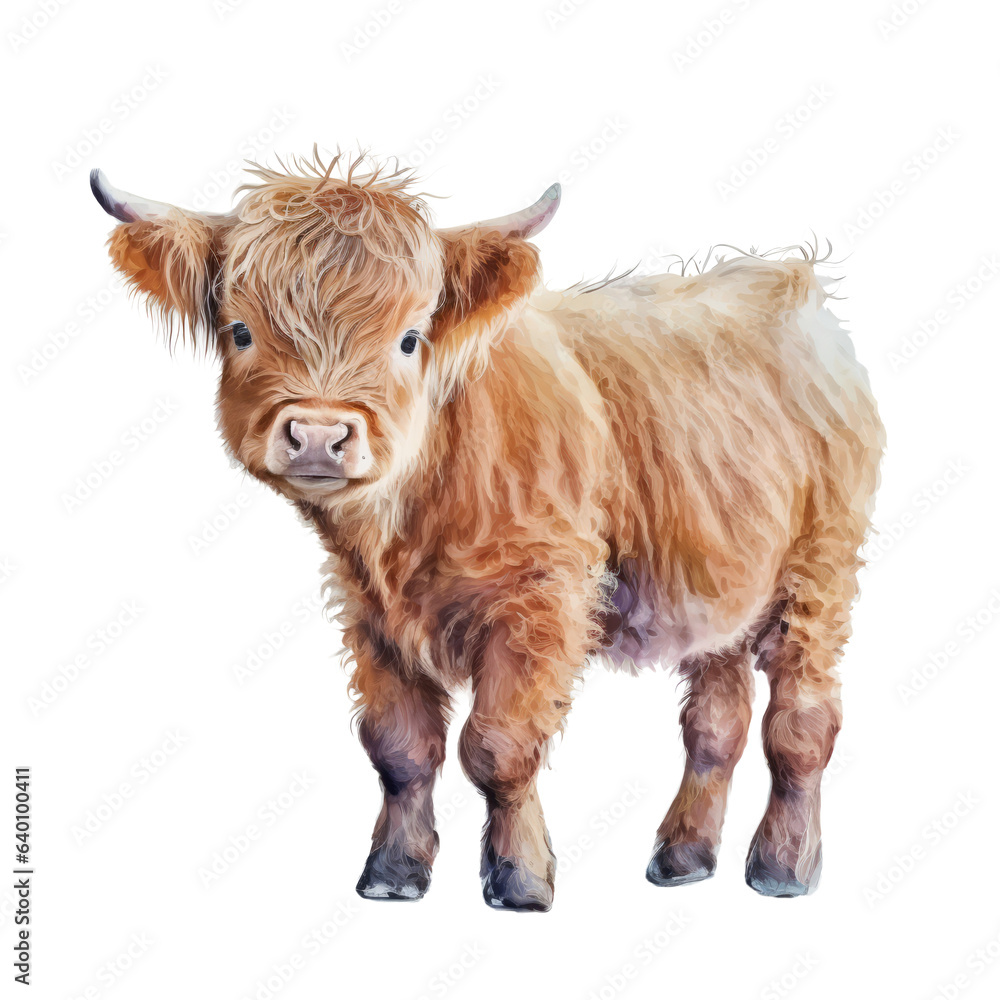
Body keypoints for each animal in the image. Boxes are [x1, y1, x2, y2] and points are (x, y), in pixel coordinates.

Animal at [90, 151, 883, 911]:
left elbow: (497, 747)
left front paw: (521, 878)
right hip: (715, 586)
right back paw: (684, 857)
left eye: (410, 338)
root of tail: (787, 278)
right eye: (242, 331)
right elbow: (400, 748)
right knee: (717, 722)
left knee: (801, 725)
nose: (318, 435)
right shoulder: (367, 612)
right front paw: (393, 872)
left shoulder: (543, 599)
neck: (408, 522)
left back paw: (781, 867)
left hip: (820, 571)